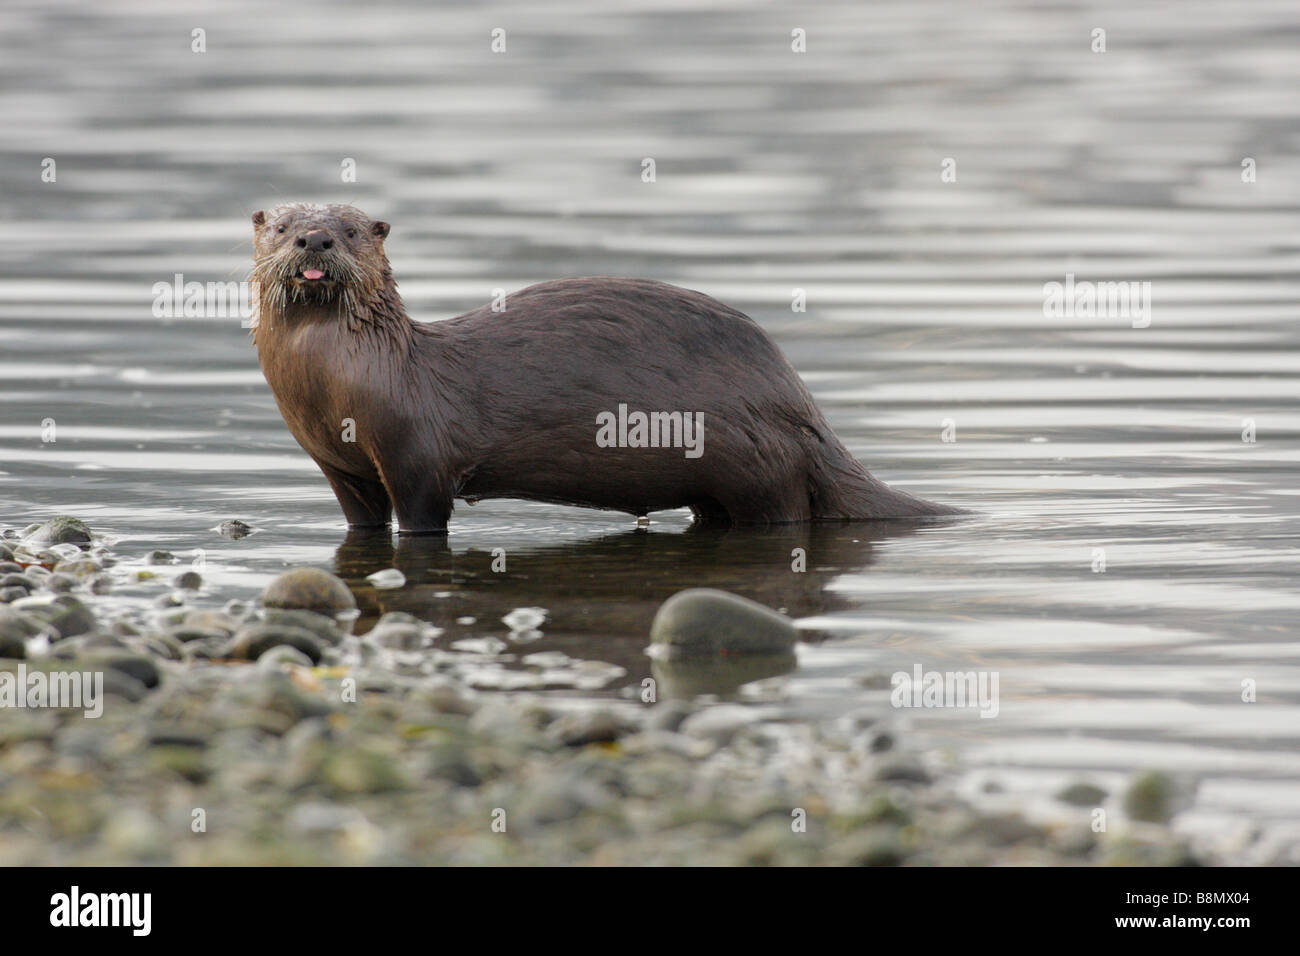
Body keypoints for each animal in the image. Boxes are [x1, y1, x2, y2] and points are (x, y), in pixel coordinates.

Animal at [250, 202, 960, 533]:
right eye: (282, 227)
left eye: (349, 230)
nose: (315, 238)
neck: (335, 390)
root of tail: (803, 408)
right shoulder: (336, 466)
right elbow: (361, 519)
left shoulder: (416, 457)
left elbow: (422, 519)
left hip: (763, 470)